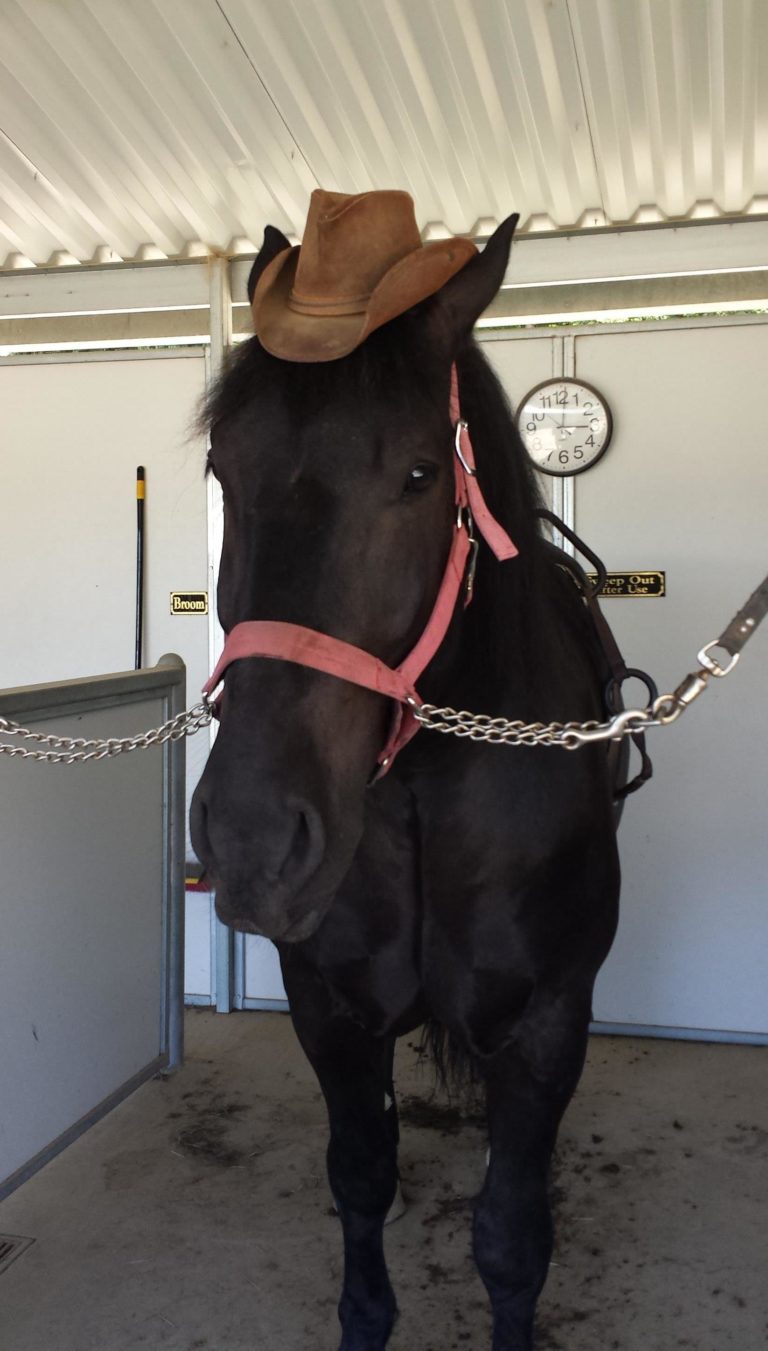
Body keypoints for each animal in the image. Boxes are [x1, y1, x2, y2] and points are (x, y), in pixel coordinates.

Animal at [190, 211, 623, 1351]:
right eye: (222, 473)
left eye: (423, 476)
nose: (253, 841)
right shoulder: (329, 1010)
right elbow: (360, 1180)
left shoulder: (549, 1018)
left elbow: (510, 1240)